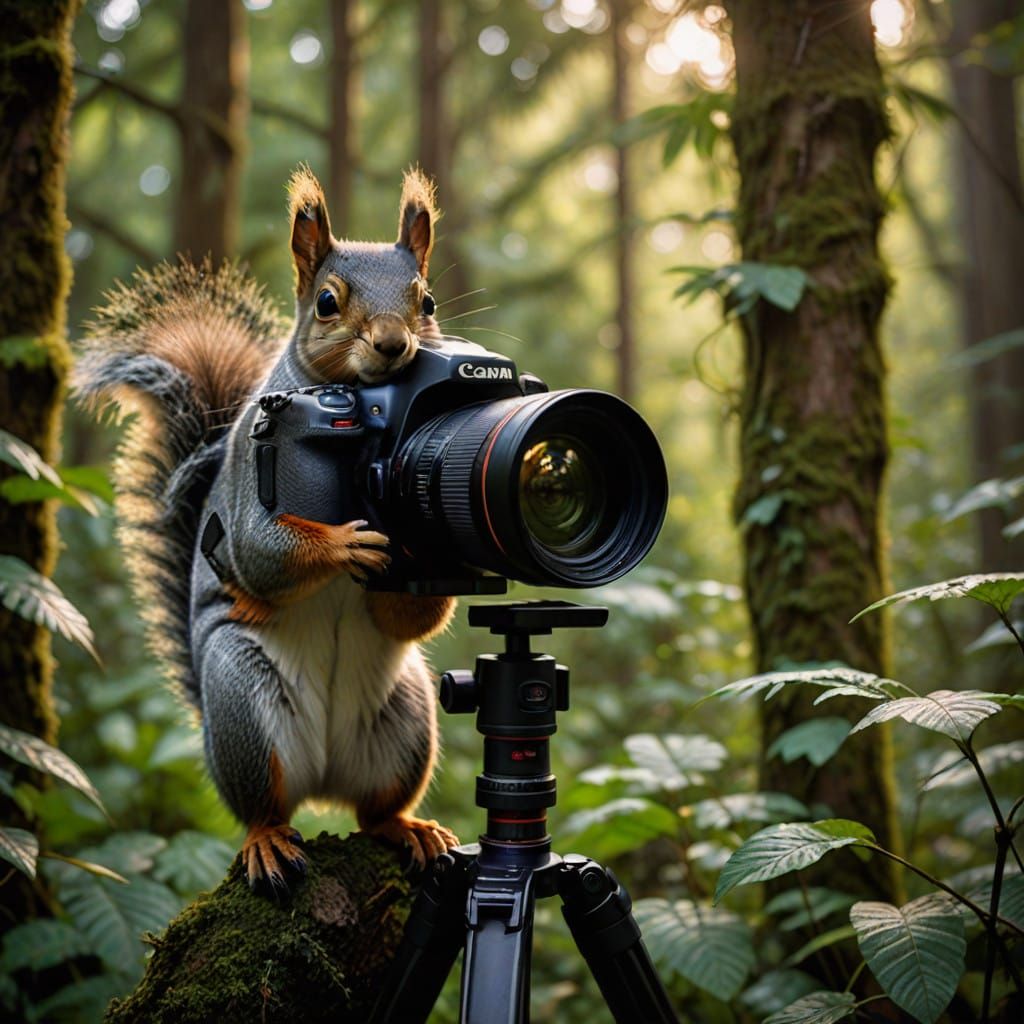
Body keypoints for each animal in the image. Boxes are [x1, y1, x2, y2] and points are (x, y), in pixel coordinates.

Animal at [75, 168, 460, 894]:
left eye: (426, 299)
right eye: (328, 303)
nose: (394, 343)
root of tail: (323, 779)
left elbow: (410, 616)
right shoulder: (253, 487)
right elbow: (263, 554)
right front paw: (343, 544)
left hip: (407, 717)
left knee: (375, 810)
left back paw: (409, 829)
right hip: (244, 701)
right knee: (263, 804)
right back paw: (269, 843)